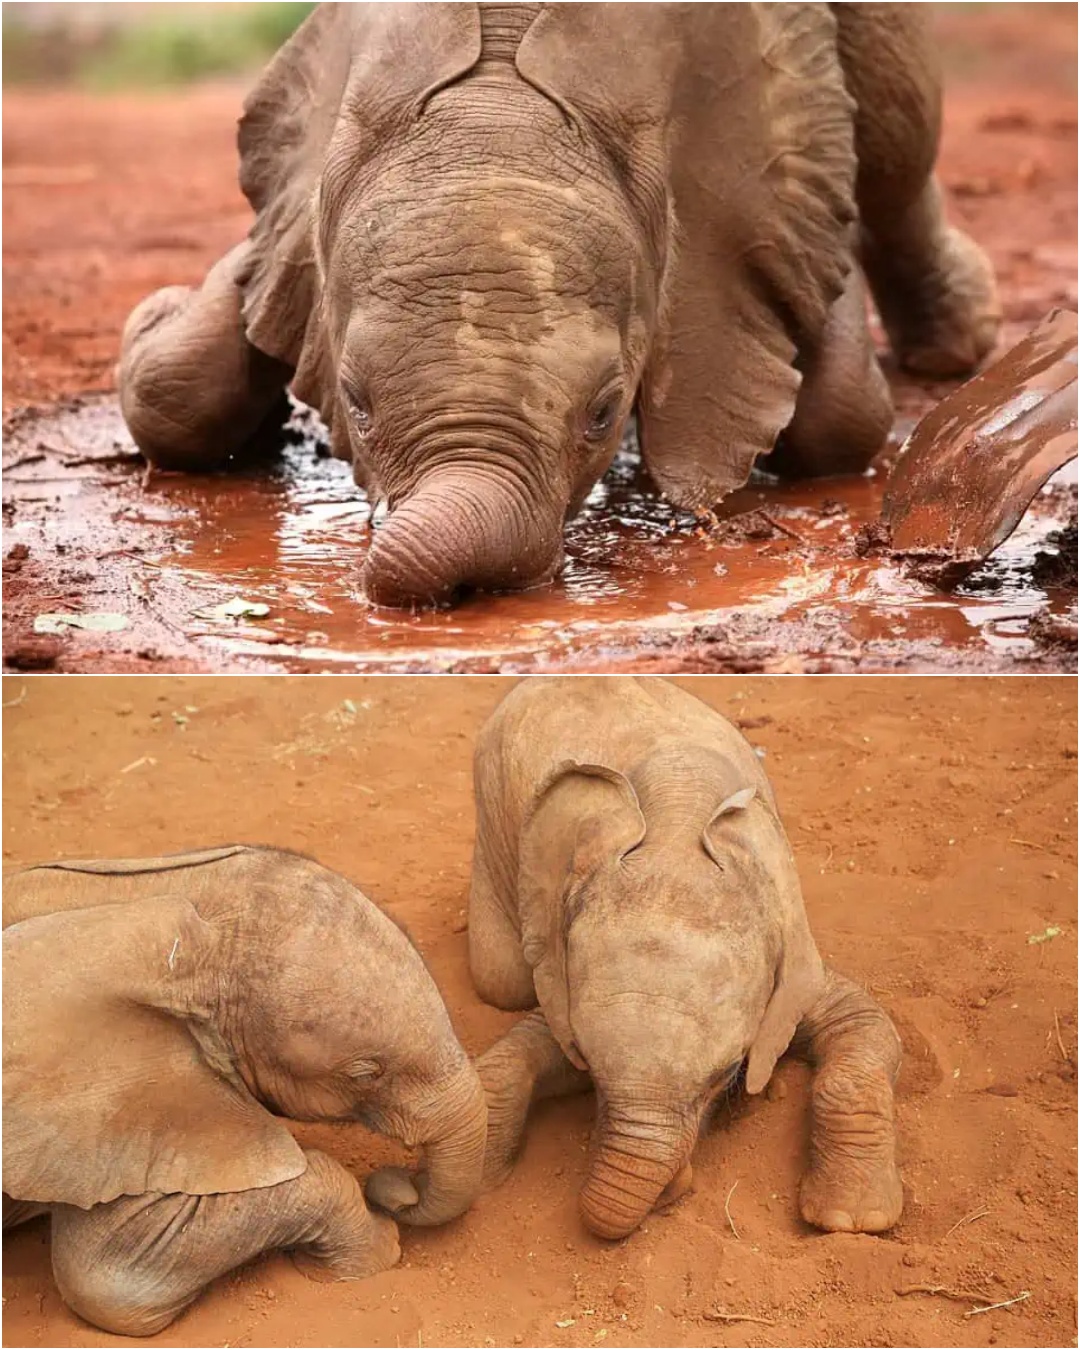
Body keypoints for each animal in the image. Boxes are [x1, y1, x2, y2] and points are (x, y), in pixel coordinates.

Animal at [118, 3, 1000, 609]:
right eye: (358, 407)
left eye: (603, 415)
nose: (462, 594)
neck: (499, 99)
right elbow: (174, 390)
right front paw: (200, 300)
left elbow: (830, 398)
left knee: (896, 135)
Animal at [467, 677, 903, 1241]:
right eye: (587, 1062)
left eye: (729, 1072)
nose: (676, 1186)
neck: (677, 824)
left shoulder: (788, 948)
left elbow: (862, 1021)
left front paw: (852, 1222)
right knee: (501, 978)